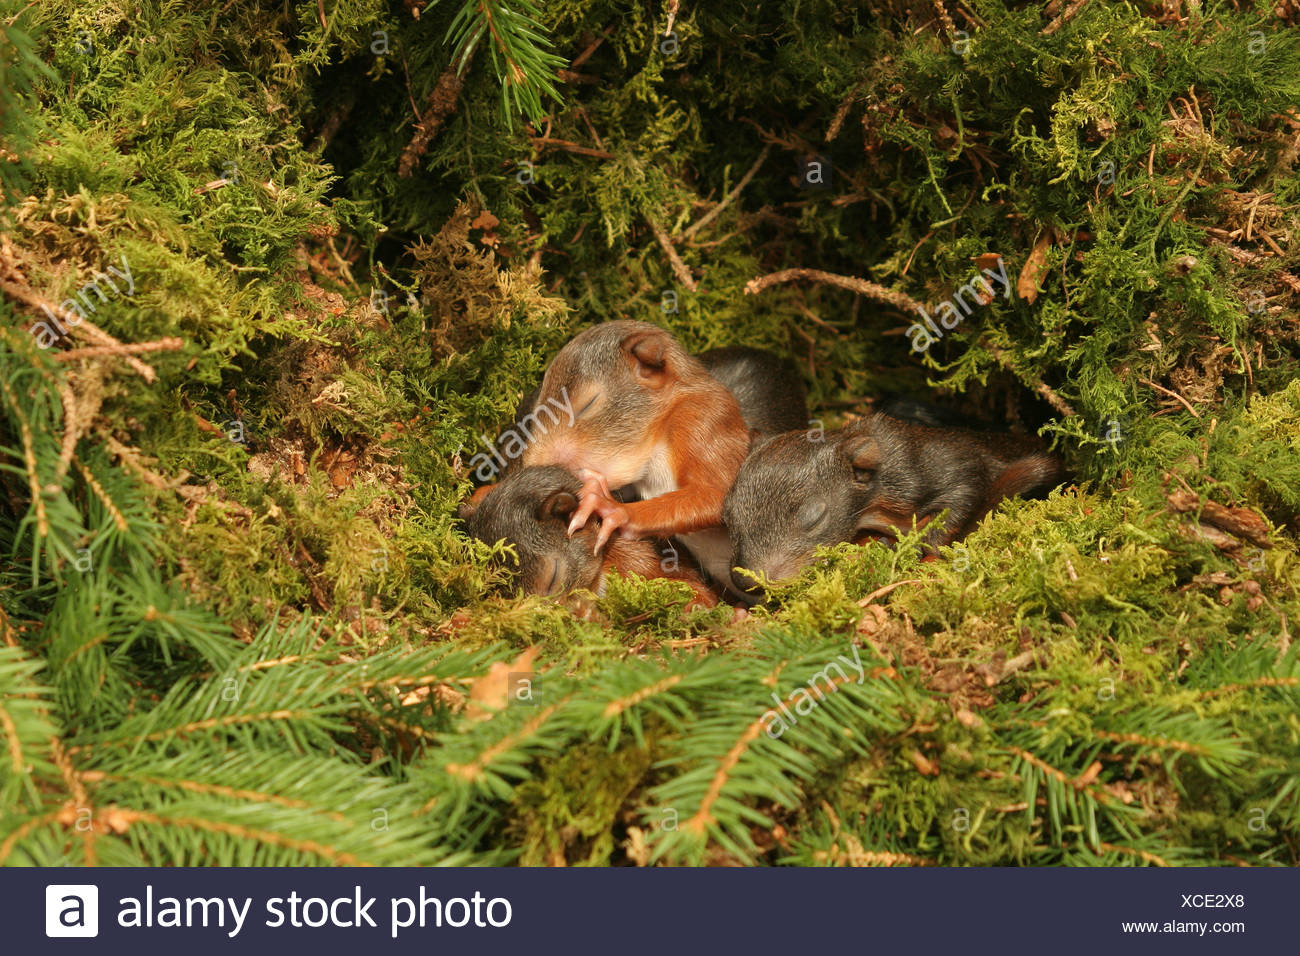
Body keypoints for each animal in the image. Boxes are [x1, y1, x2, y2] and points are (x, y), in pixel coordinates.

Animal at [723, 410, 1064, 595]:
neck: (875, 504)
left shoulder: (926, 472)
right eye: (726, 517)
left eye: (813, 518)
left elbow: (962, 492)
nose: (745, 581)